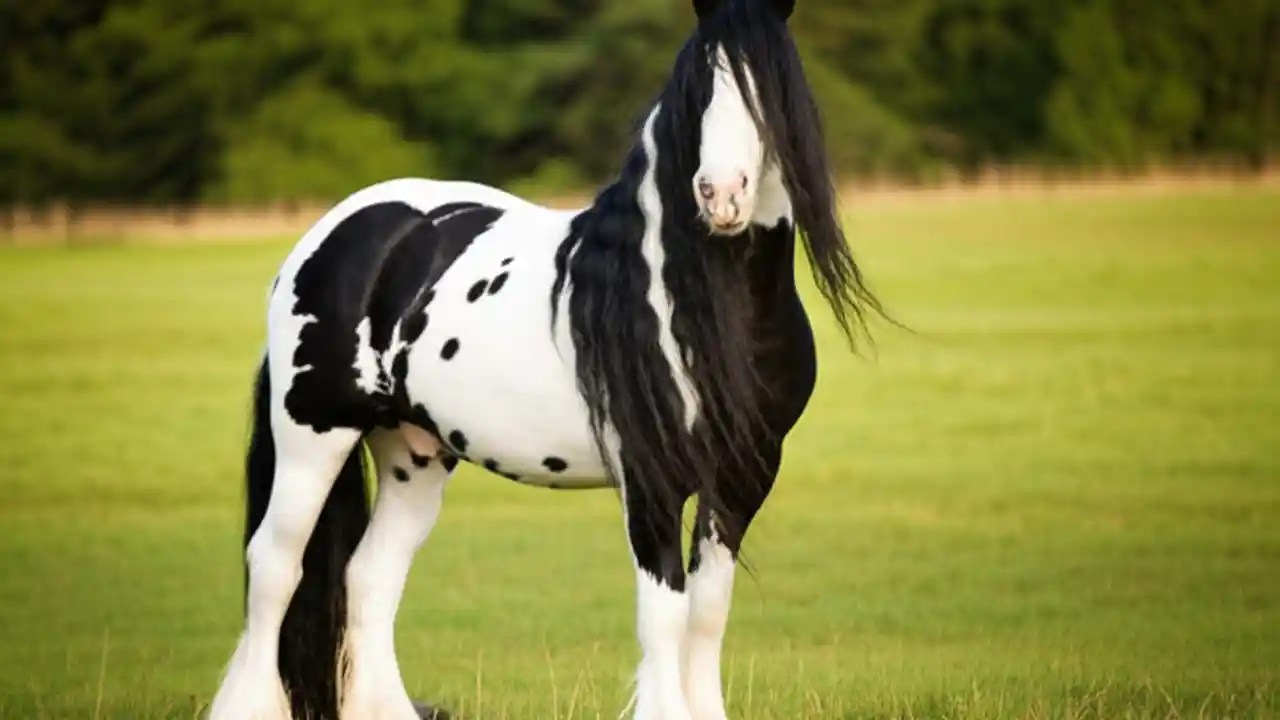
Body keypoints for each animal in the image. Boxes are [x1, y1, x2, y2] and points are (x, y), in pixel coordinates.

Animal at [209, 0, 882, 718]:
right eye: (702, 82)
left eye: (772, 84)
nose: (720, 194)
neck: (709, 313)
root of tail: (326, 236)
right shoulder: (650, 476)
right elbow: (663, 617)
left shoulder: (744, 475)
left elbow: (707, 612)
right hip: (313, 434)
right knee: (276, 569)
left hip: (412, 453)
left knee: (368, 577)